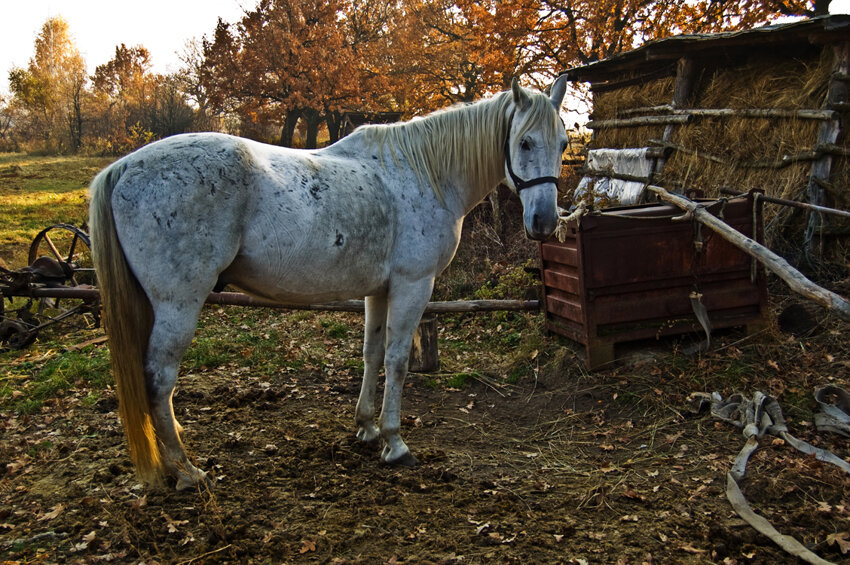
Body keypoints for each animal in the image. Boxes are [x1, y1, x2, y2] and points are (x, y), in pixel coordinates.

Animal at [89, 76, 568, 490]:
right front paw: (395, 443)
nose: (545, 222)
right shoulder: (413, 285)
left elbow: (372, 354)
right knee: (159, 378)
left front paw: (368, 427)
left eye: (563, 143)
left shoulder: (379, 290)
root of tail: (125, 167)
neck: (425, 173)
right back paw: (186, 470)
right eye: (525, 142)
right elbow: (397, 361)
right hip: (178, 304)